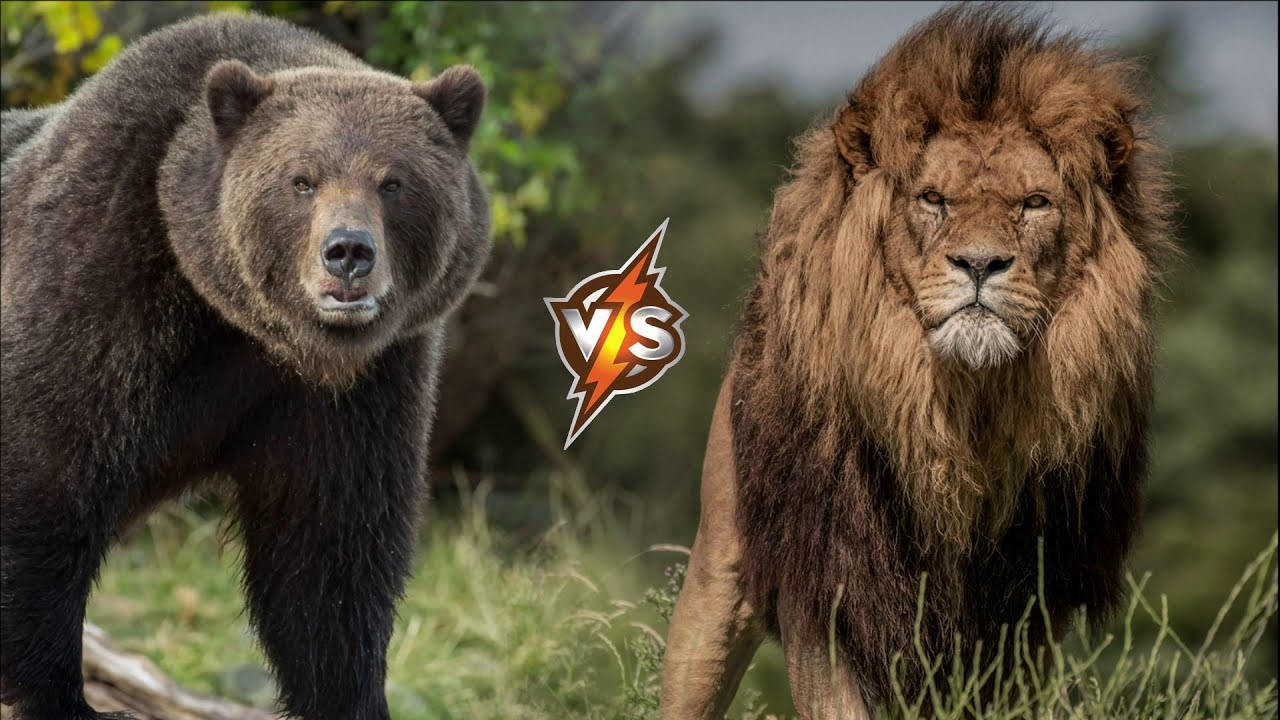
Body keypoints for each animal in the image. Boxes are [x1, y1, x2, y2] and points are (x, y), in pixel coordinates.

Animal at [0, 13, 490, 720]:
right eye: (302, 179)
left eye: (394, 181)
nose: (348, 252)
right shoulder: (95, 278)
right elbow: (46, 472)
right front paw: (63, 697)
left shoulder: (356, 389)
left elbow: (327, 555)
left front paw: (350, 696)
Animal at [659, 6, 1174, 719]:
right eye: (933, 199)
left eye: (1035, 203)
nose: (981, 263)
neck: (962, 409)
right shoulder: (826, 579)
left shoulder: (1023, 609)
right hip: (717, 574)